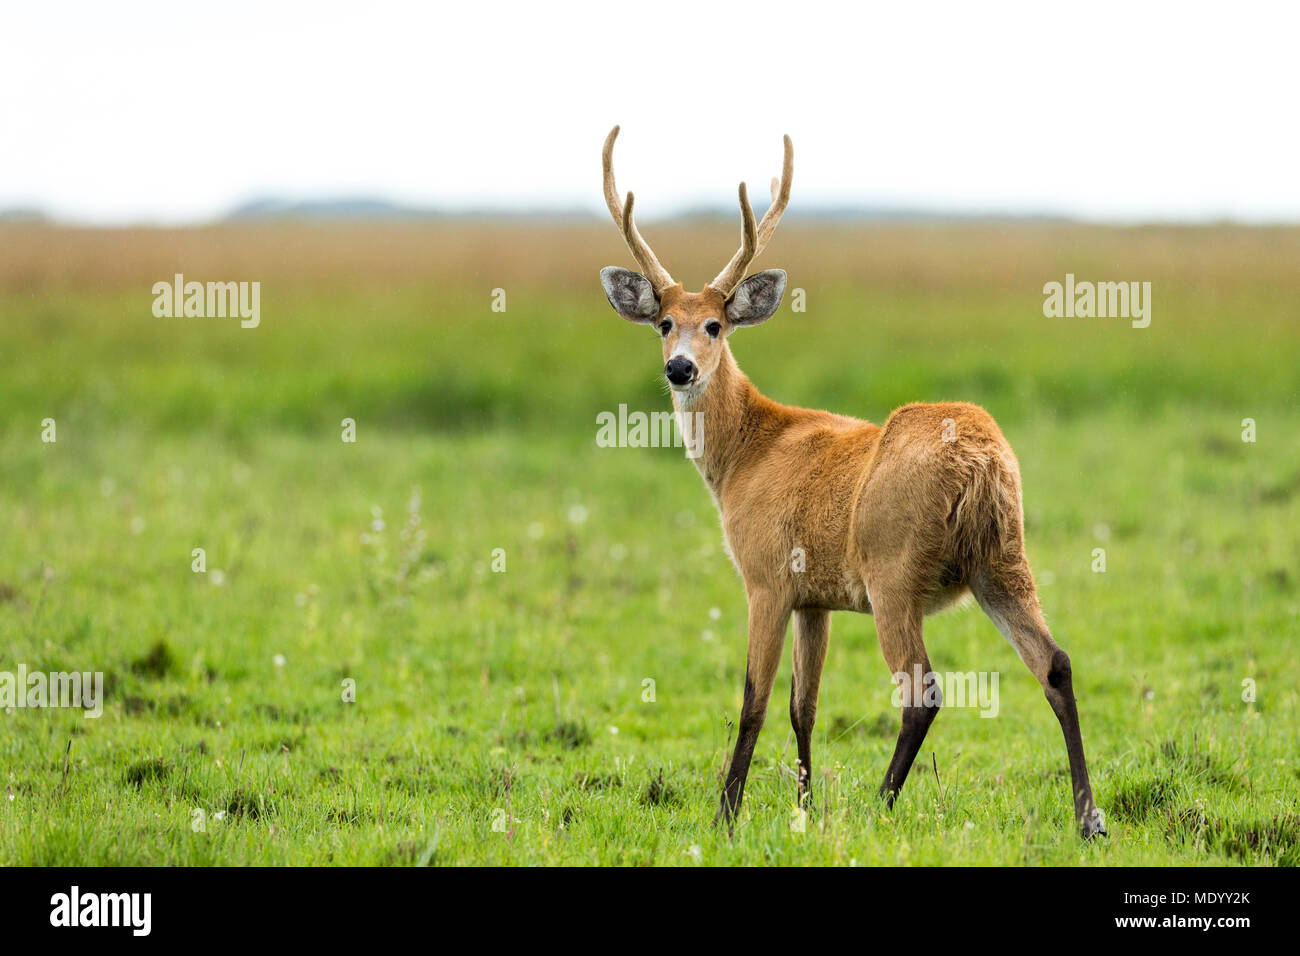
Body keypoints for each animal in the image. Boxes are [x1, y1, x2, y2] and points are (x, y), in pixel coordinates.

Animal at [597, 126, 1107, 840]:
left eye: (715, 325)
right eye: (664, 322)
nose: (679, 368)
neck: (746, 453)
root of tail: (980, 462)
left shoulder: (767, 578)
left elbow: (753, 699)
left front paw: (726, 814)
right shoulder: (816, 598)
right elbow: (802, 706)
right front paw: (804, 807)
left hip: (895, 570)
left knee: (924, 690)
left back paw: (880, 806)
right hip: (1004, 559)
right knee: (1055, 663)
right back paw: (1089, 817)